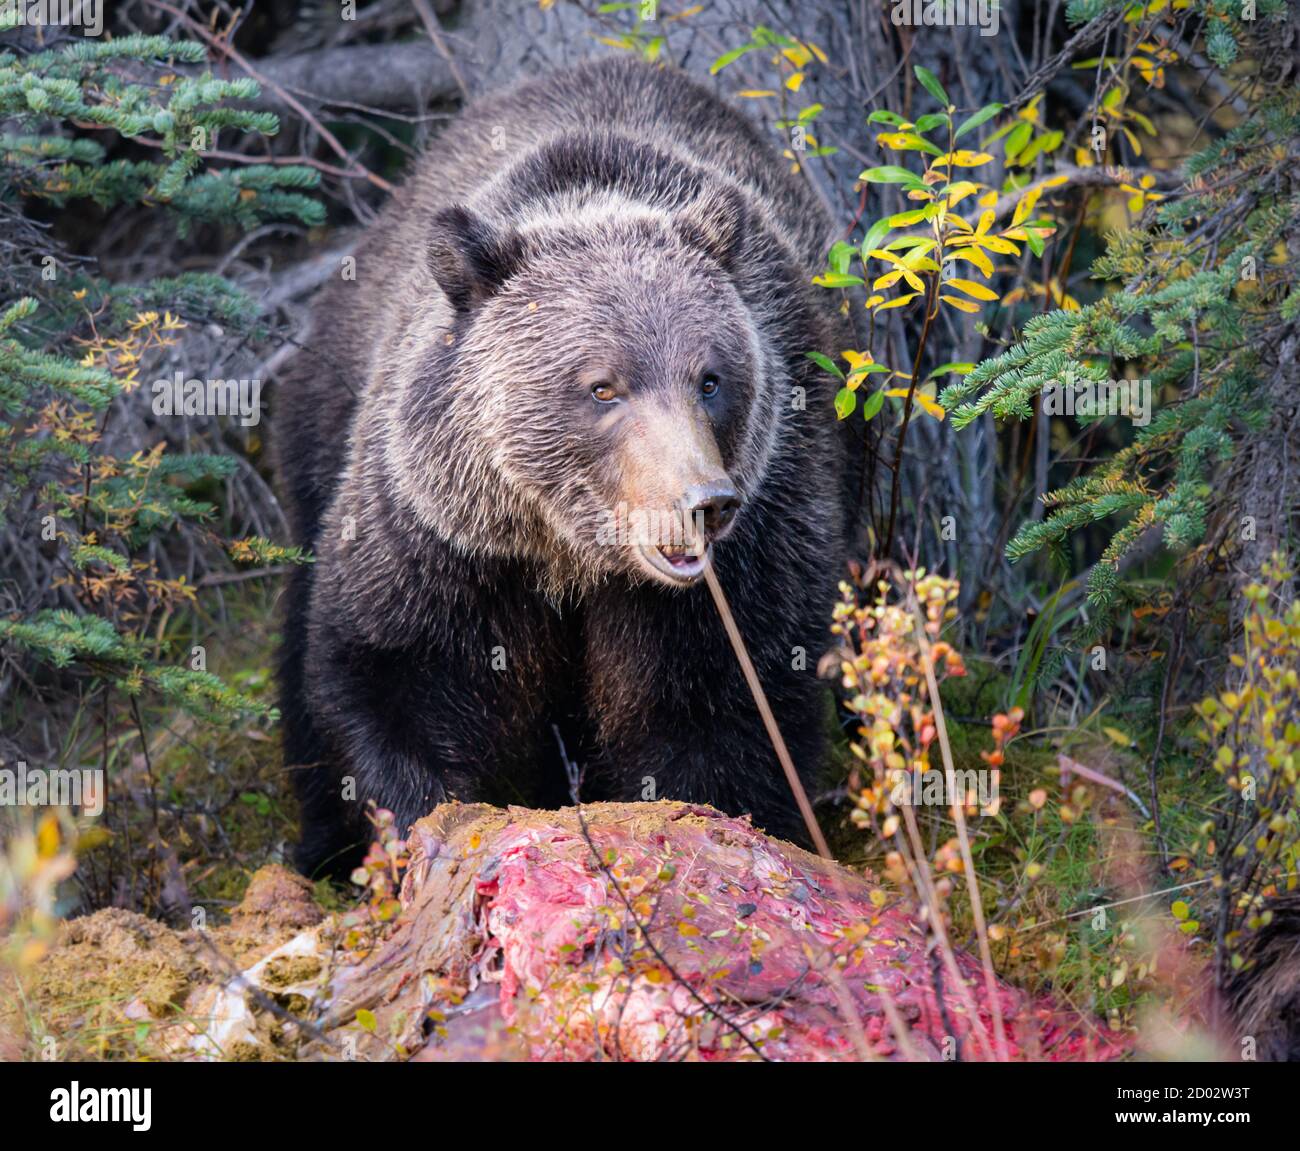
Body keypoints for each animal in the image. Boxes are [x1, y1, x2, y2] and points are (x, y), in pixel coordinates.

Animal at [275, 56, 847, 877]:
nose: (703, 500)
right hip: (323, 417)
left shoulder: (754, 541)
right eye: (603, 385)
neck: (570, 554)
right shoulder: (444, 536)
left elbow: (723, 709)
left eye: (710, 378)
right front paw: (421, 822)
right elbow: (392, 670)